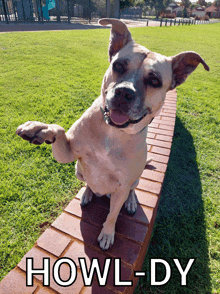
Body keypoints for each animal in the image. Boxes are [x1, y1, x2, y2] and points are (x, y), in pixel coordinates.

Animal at [16, 18, 209, 249]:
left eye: (154, 80)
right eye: (118, 65)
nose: (124, 92)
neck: (112, 133)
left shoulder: (122, 187)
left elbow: (112, 215)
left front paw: (107, 233)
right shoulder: (68, 154)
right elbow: (59, 130)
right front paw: (39, 128)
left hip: (134, 181)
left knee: (132, 191)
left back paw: (131, 202)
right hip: (78, 170)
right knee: (88, 182)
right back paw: (88, 192)